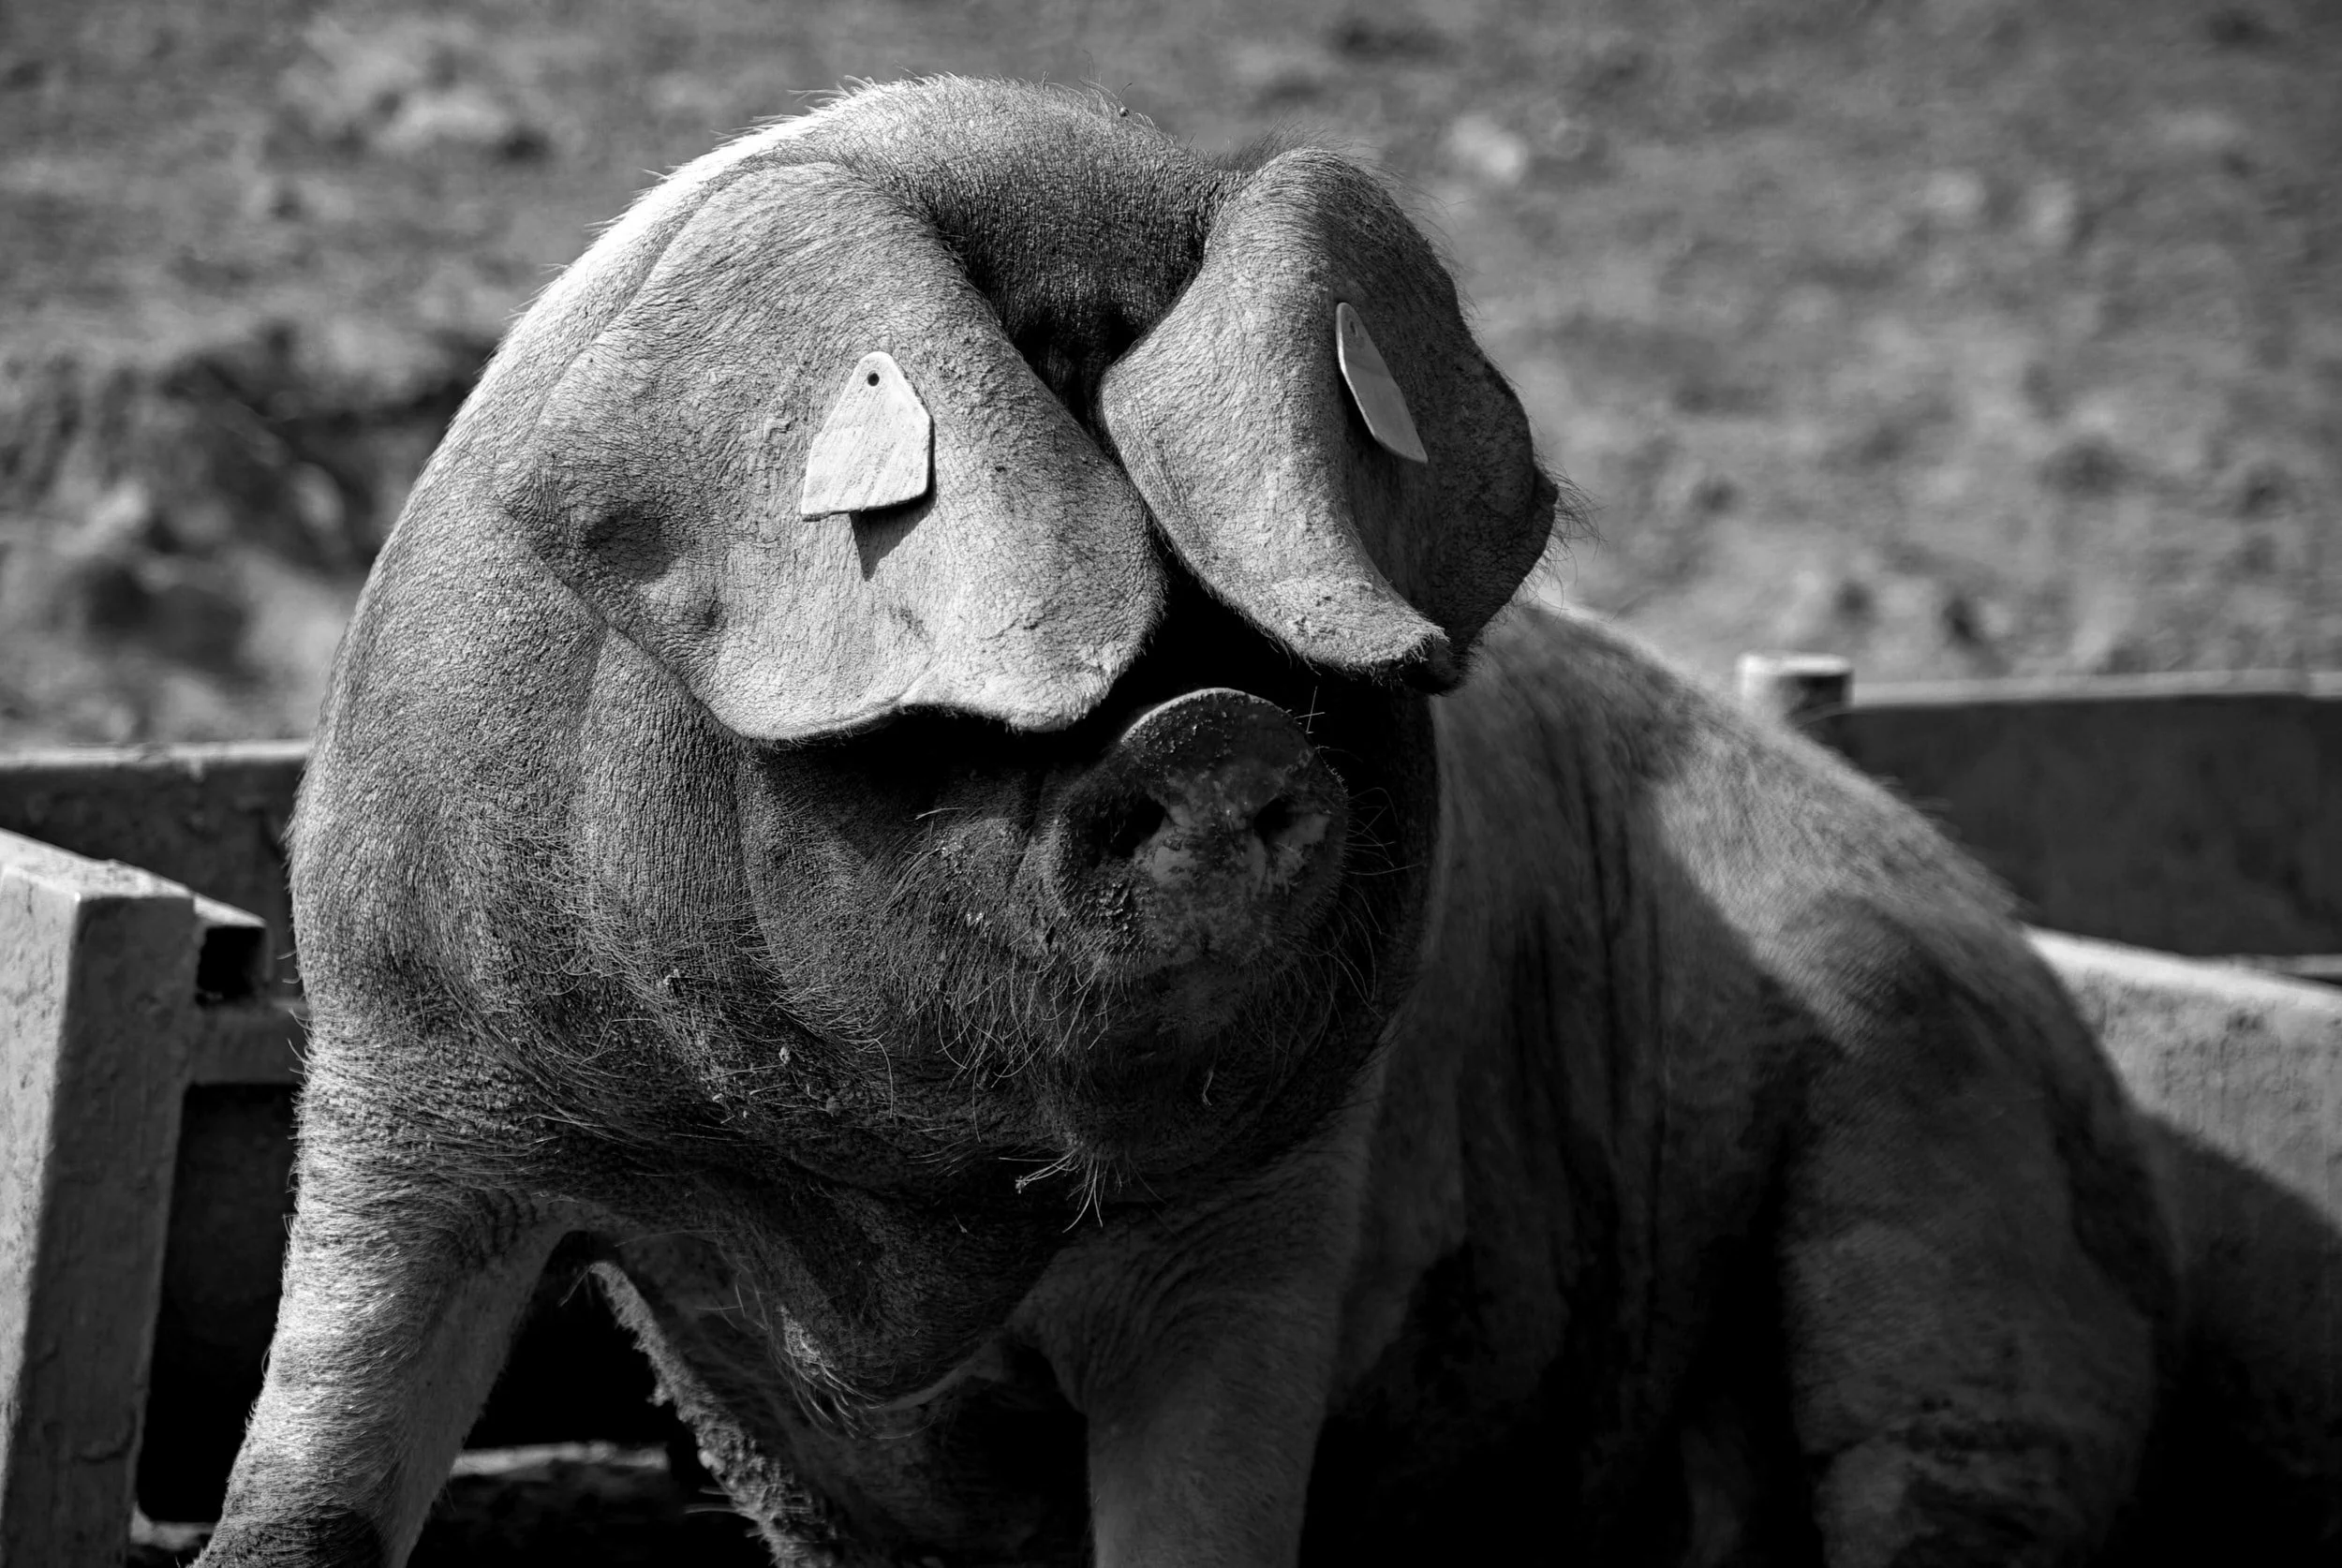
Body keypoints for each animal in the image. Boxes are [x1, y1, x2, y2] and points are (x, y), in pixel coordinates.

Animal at [199, 79, 2340, 1567]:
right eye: (974, 669)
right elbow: (311, 1472)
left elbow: (1210, 1514)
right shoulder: (411, 1078)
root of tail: (2042, 983)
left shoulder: (1271, 1208)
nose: (1216, 730)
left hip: (1935, 1156)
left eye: (1277, 646)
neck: (885, 1218)